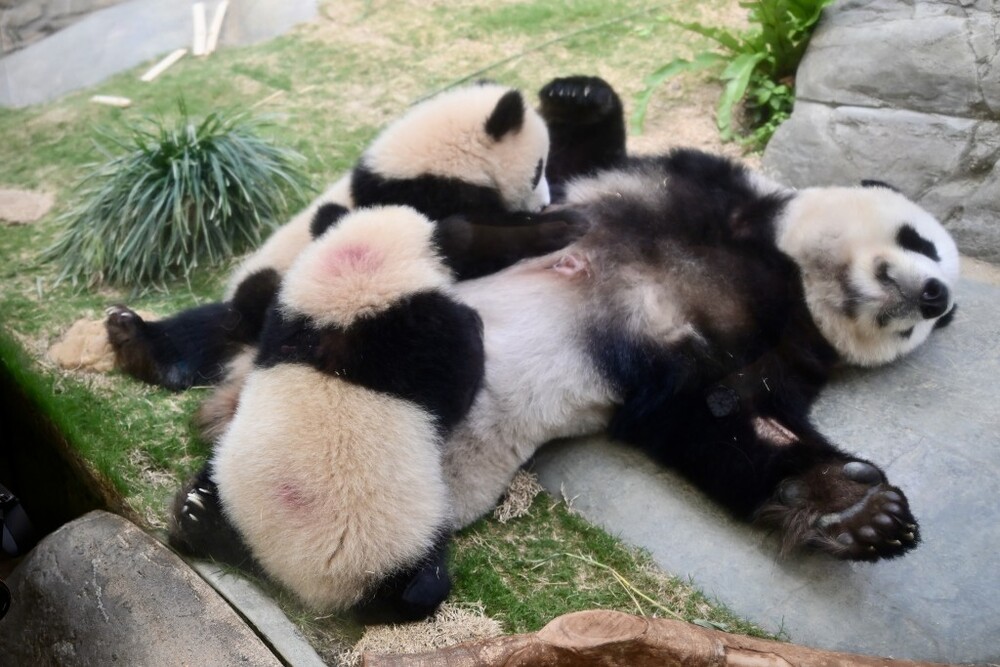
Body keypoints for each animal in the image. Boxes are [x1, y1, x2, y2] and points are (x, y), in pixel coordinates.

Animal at [105, 82, 583, 390]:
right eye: (537, 168)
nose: (542, 202)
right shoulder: (417, 200)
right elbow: (467, 241)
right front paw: (560, 225)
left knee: (208, 329)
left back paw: (136, 346)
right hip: (272, 286)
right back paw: (135, 337)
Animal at [170, 205, 484, 620]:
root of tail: (306, 580)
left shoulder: (288, 319)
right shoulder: (424, 334)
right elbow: (462, 380)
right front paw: (476, 323)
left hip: (232, 487)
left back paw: (196, 512)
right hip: (406, 541)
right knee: (419, 587)